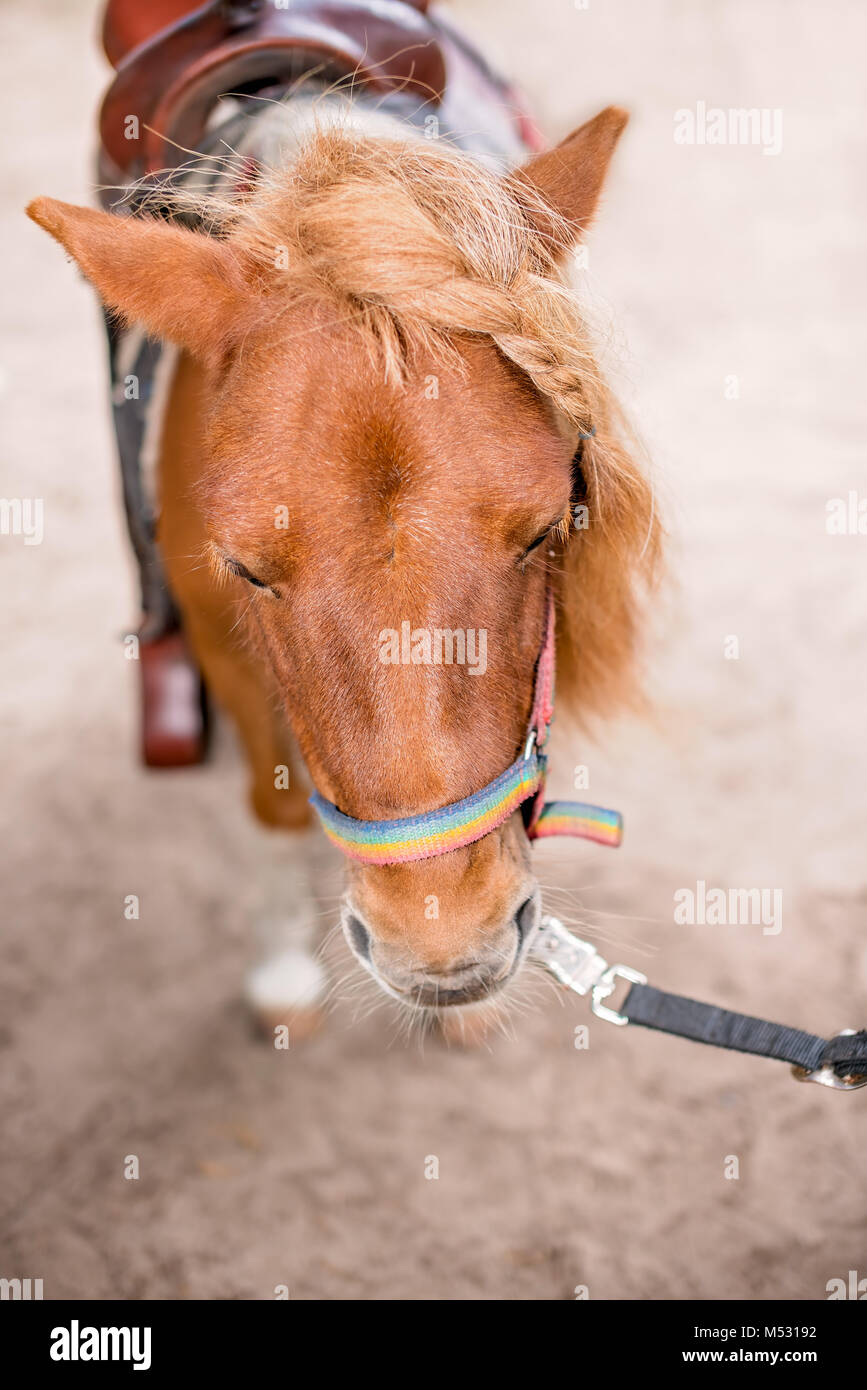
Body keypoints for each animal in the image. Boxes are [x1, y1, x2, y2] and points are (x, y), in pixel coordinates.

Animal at [27, 5, 659, 1042]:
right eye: (248, 569)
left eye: (543, 533)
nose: (445, 952)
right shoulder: (226, 643)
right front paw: (283, 964)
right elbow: (273, 802)